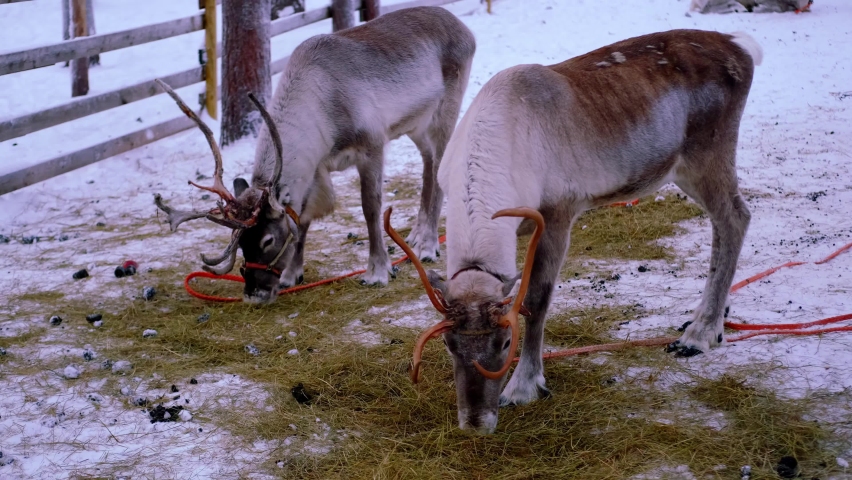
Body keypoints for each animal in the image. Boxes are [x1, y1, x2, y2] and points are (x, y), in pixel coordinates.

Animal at [153, 6, 476, 303]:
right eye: (240, 241)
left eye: (267, 240)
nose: (254, 293)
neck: (322, 112)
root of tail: (464, 29)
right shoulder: (316, 168)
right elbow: (303, 219)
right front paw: (291, 274)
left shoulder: (372, 145)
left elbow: (371, 208)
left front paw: (378, 271)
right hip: (416, 124)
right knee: (428, 163)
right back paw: (417, 236)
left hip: (444, 111)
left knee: (439, 165)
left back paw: (428, 246)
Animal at [385, 29, 763, 434]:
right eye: (449, 344)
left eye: (504, 342)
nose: (476, 423)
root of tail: (741, 45)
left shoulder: (558, 212)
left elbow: (536, 301)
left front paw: (524, 386)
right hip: (685, 170)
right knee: (722, 224)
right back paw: (708, 318)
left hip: (707, 155)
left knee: (735, 217)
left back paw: (700, 334)